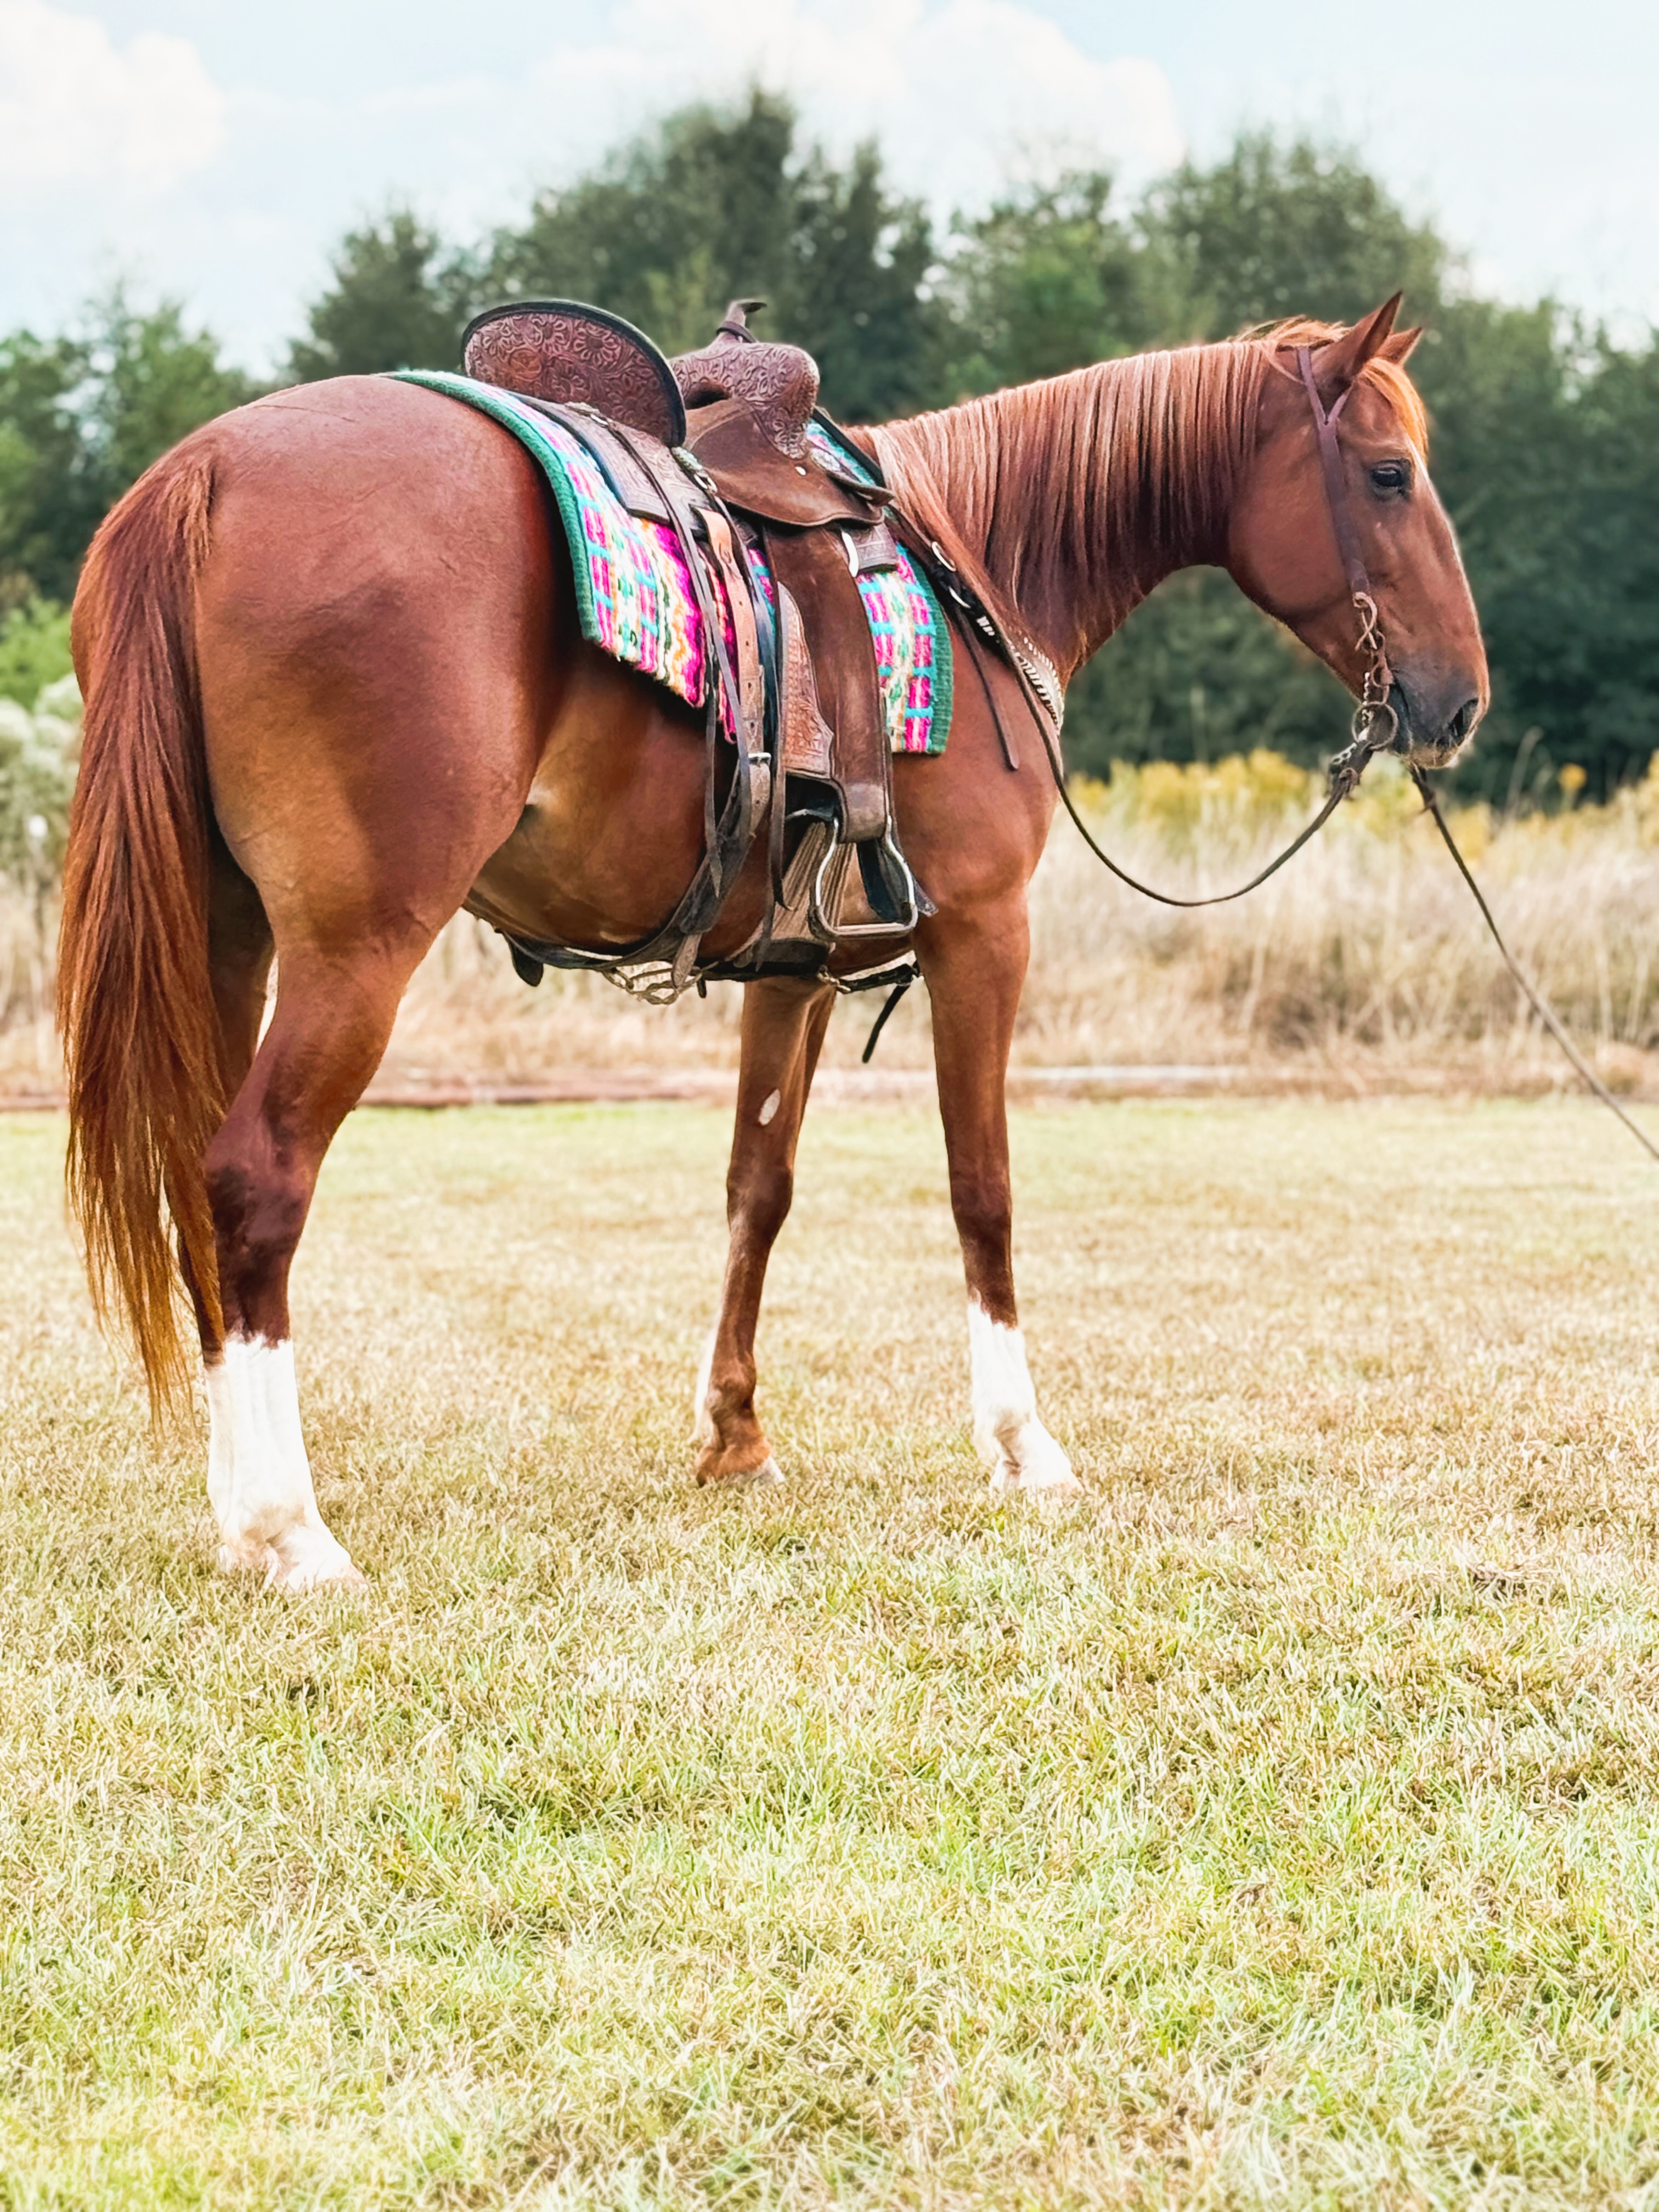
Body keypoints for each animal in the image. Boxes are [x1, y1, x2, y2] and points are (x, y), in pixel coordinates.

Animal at [58, 295, 1486, 1591]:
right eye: (1389, 473)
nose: (1459, 701)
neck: (979, 568)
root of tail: (205, 472)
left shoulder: (792, 974)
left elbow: (759, 1191)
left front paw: (734, 1437)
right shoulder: (984, 938)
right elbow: (983, 1189)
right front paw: (1023, 1449)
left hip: (227, 936)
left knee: (195, 1181)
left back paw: (238, 1515)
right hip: (356, 949)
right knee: (256, 1180)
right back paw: (287, 1529)